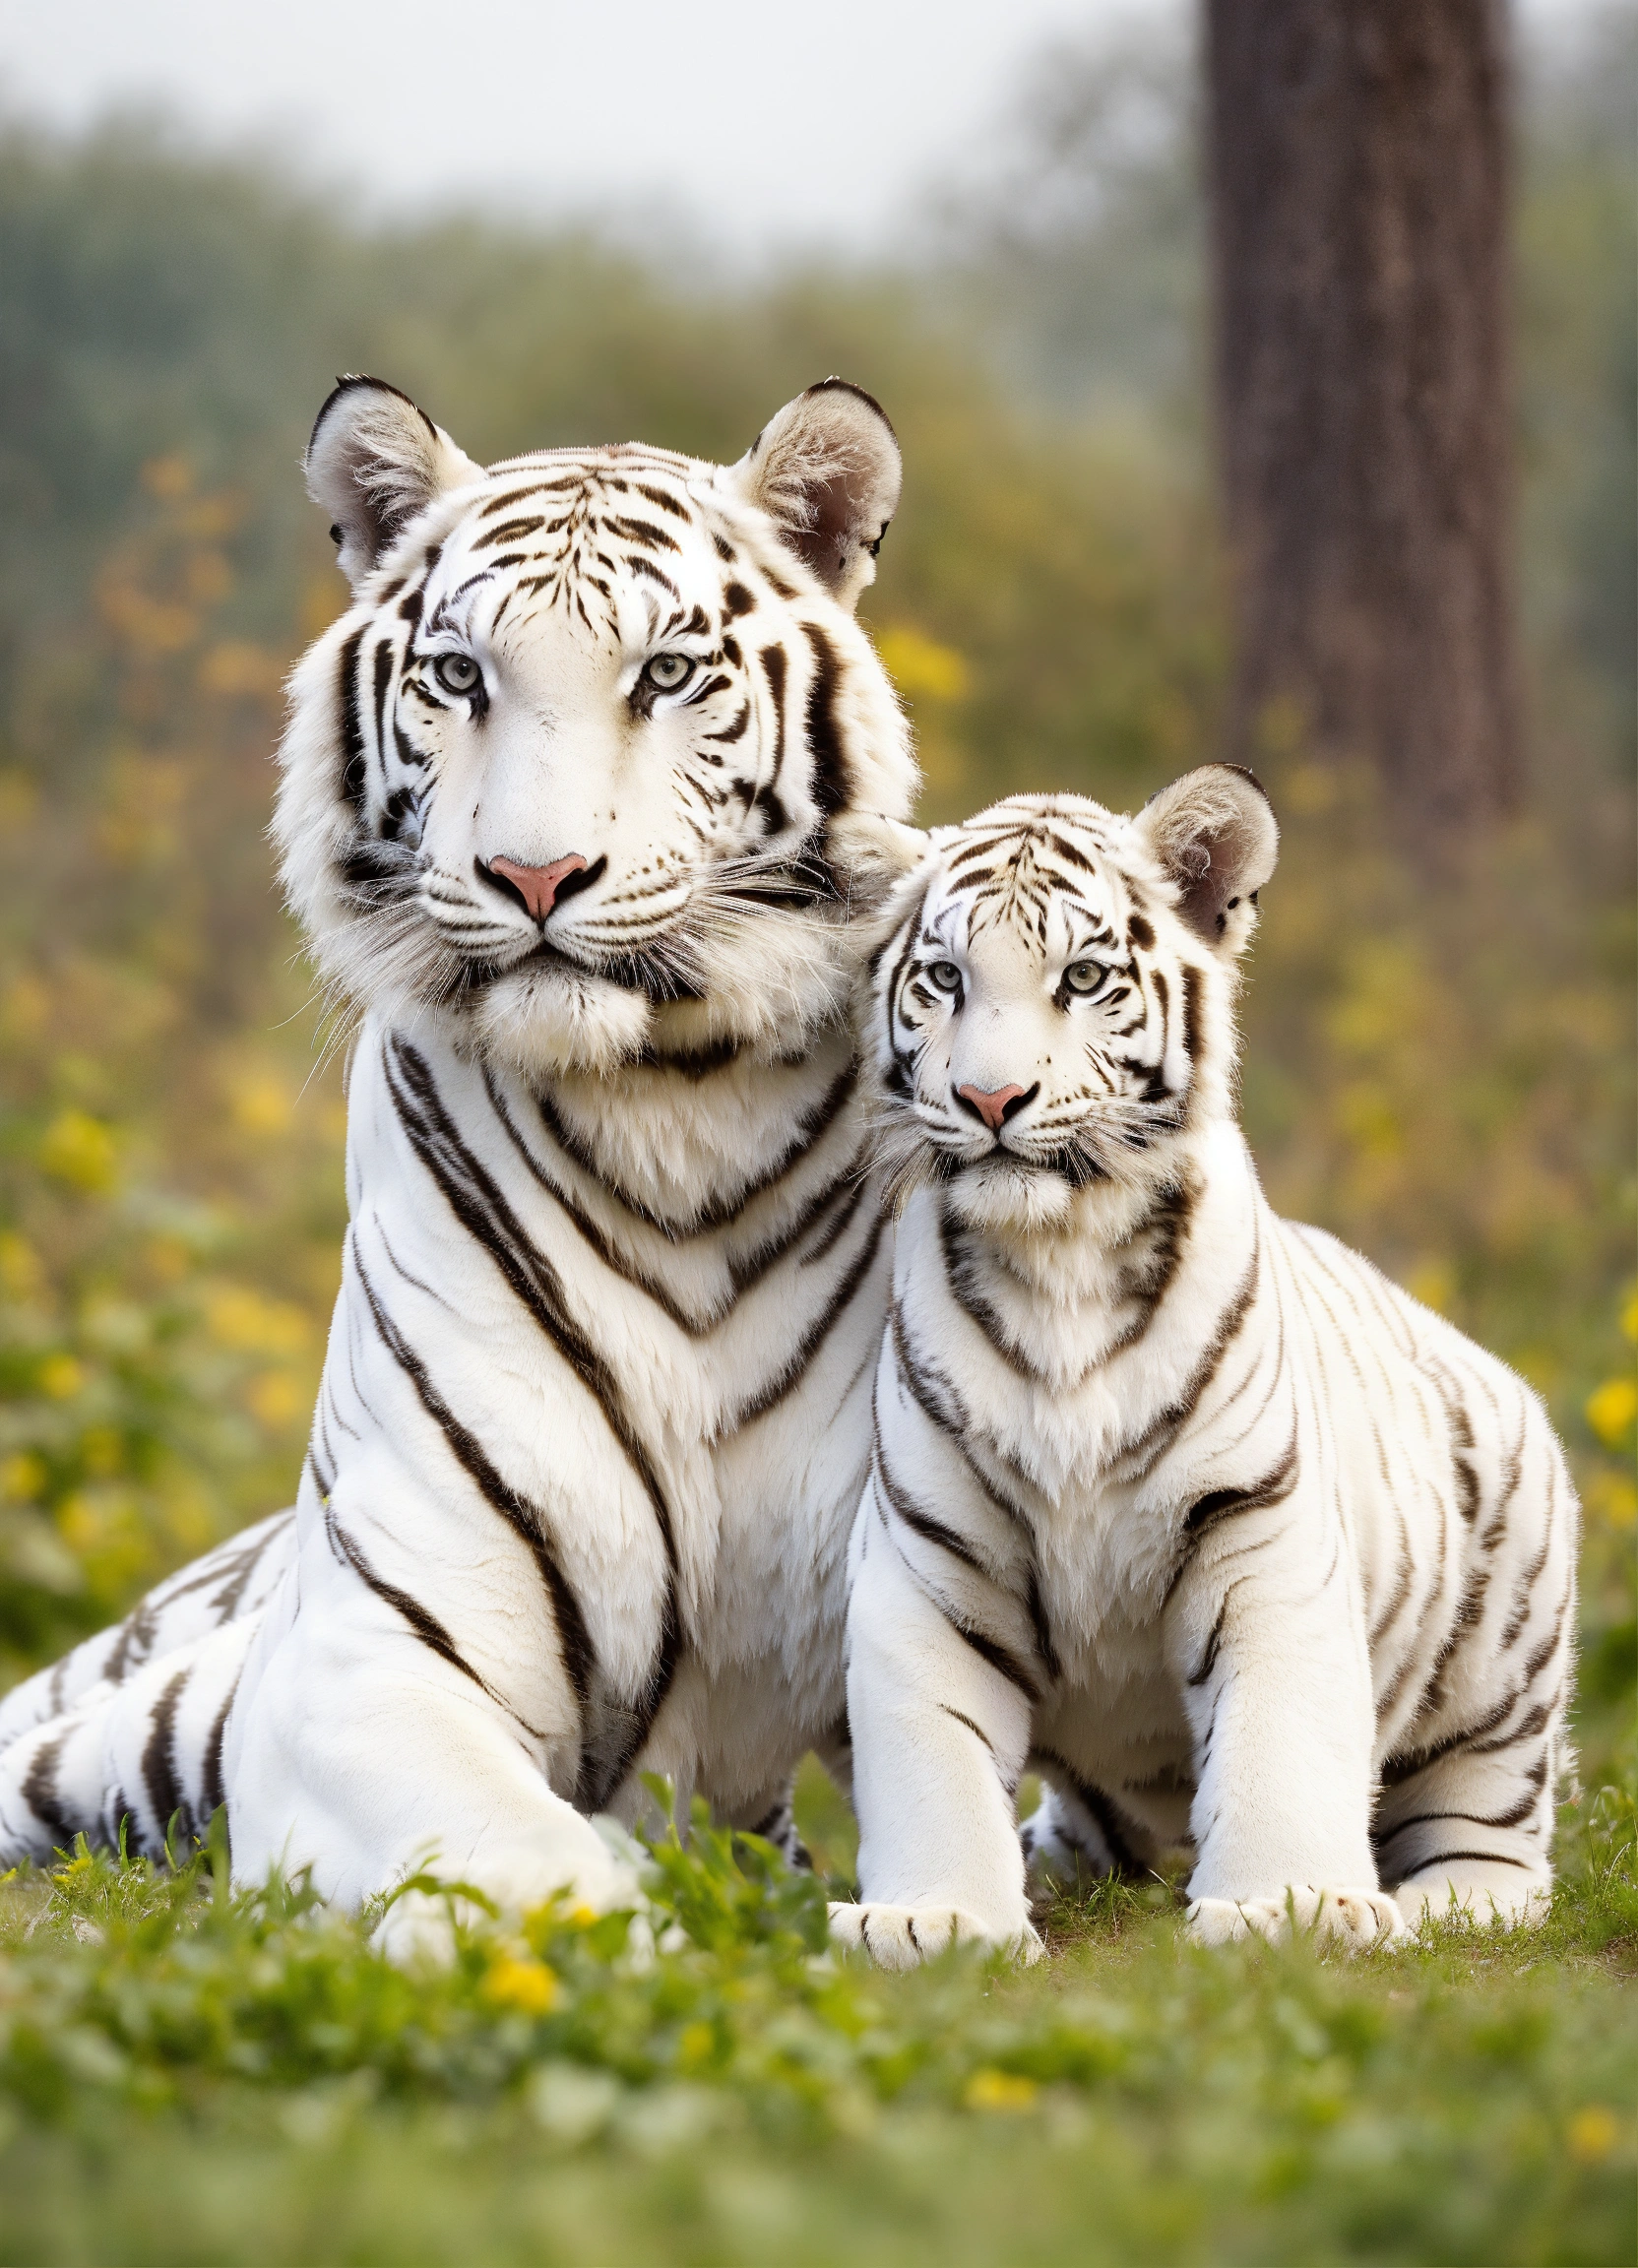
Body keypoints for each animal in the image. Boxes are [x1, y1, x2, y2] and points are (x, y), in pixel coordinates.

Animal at [0, 372, 918, 1947]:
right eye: (459, 677)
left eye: (665, 675)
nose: (533, 878)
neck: (672, 1109)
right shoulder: (363, 1663)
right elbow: (548, 1875)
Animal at [826, 766, 1578, 1966]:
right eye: (943, 979)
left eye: (1081, 979)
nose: (990, 1102)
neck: (1058, 1261)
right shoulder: (927, 1556)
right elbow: (928, 1744)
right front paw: (935, 1921)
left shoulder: (1260, 1526)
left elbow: (1280, 1727)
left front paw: (1293, 1909)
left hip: (1499, 1671)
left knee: (1499, 1845)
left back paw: (1435, 1909)